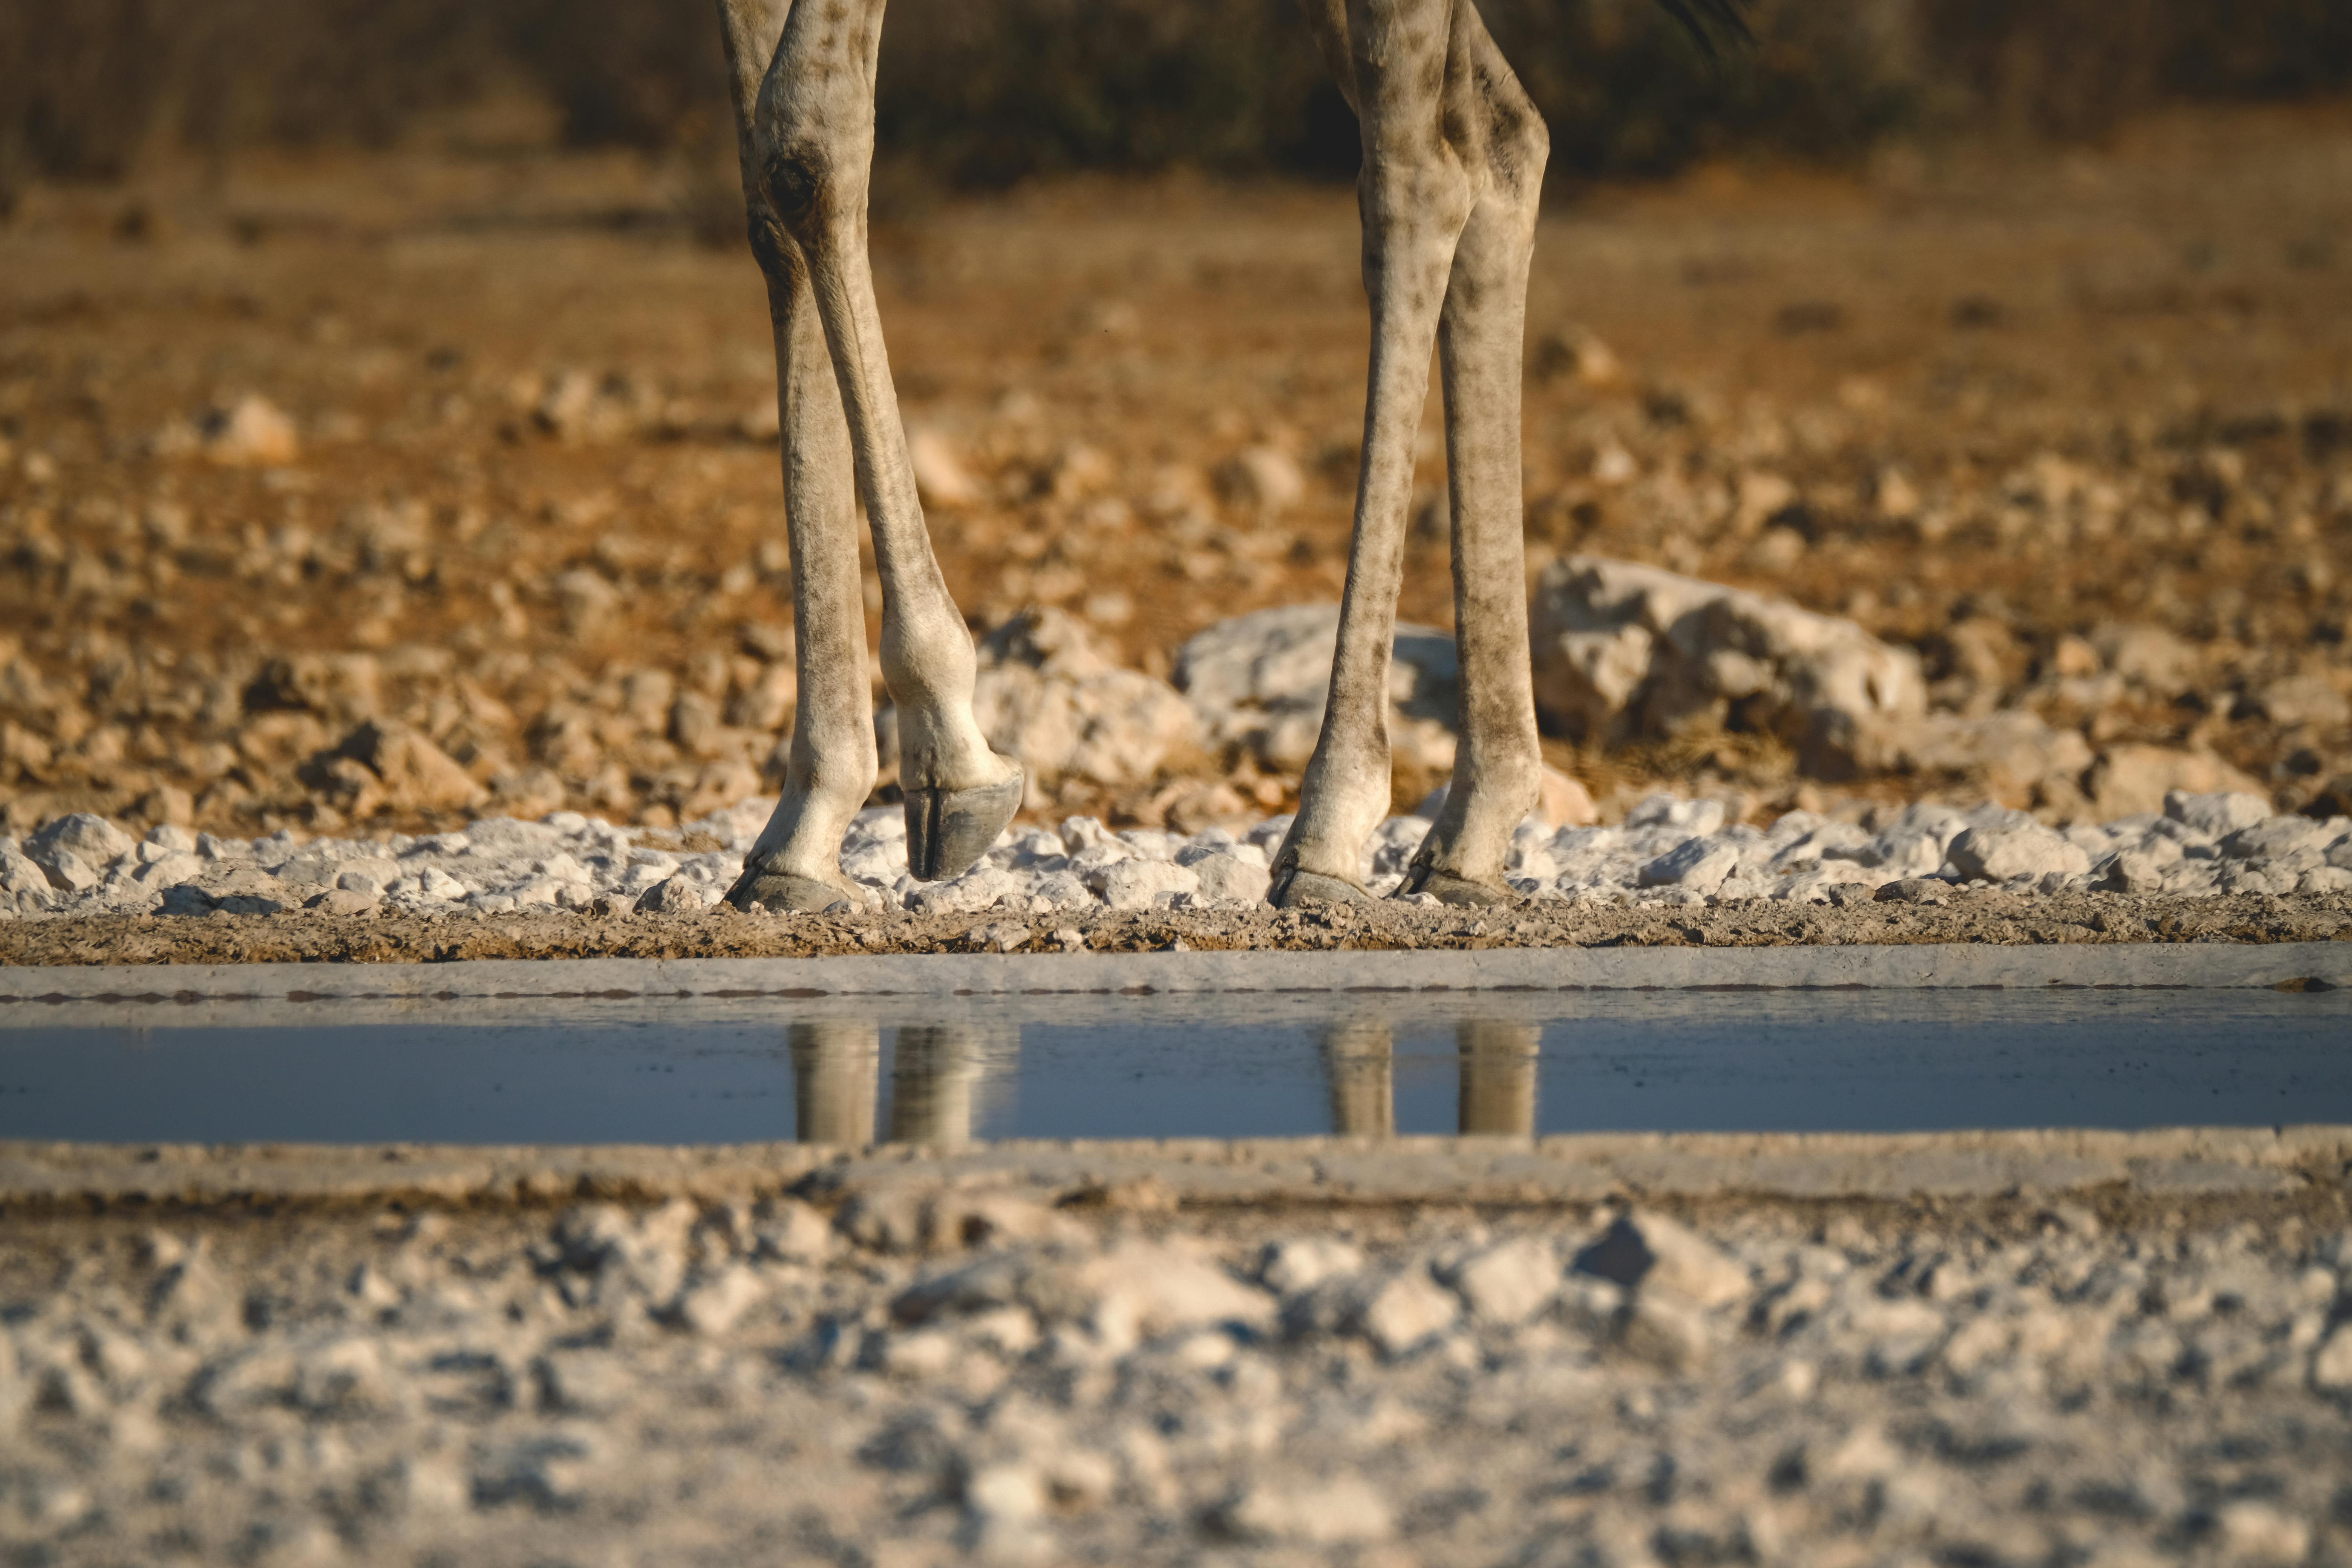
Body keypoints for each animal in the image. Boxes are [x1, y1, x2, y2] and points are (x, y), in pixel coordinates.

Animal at [712, 0, 1744, 915]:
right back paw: (1470, 835)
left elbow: (810, 134)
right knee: (1499, 137)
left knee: (1417, 173)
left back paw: (1331, 830)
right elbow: (763, 183)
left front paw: (948, 747)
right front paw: (805, 826)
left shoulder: (819, 126)